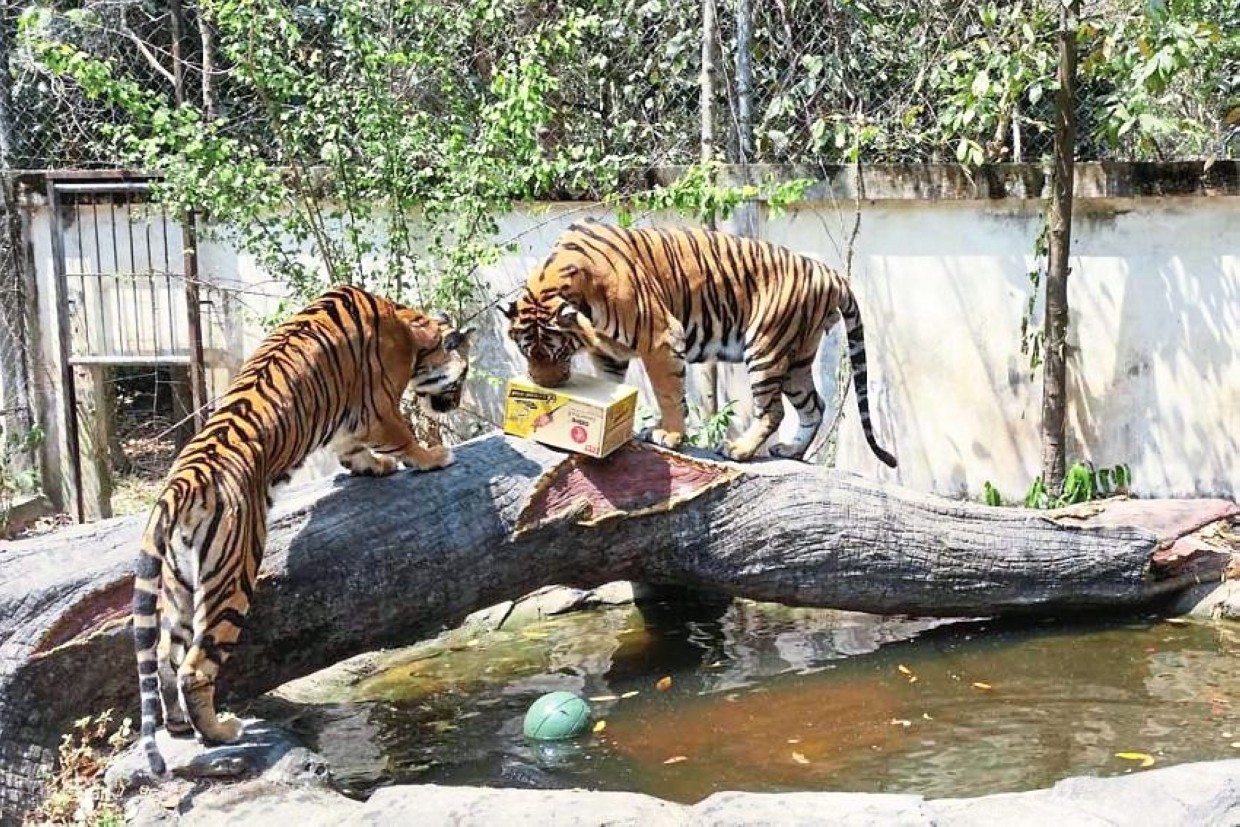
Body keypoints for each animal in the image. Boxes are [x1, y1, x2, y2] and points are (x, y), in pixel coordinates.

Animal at [133, 285, 473, 775]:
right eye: (462, 379)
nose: (457, 402)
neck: (408, 325)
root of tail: (181, 483)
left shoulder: (350, 422)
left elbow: (354, 452)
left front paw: (378, 468)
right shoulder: (379, 407)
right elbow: (403, 437)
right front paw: (433, 457)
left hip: (178, 585)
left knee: (163, 657)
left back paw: (179, 727)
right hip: (231, 578)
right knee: (195, 667)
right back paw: (221, 732)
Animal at [503, 220, 896, 466]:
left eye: (556, 350)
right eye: (526, 351)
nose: (546, 384)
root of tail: (830, 274)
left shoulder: (660, 338)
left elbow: (668, 393)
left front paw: (669, 435)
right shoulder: (607, 352)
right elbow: (612, 387)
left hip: (766, 347)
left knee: (773, 411)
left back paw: (739, 449)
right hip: (797, 357)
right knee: (814, 405)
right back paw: (791, 451)